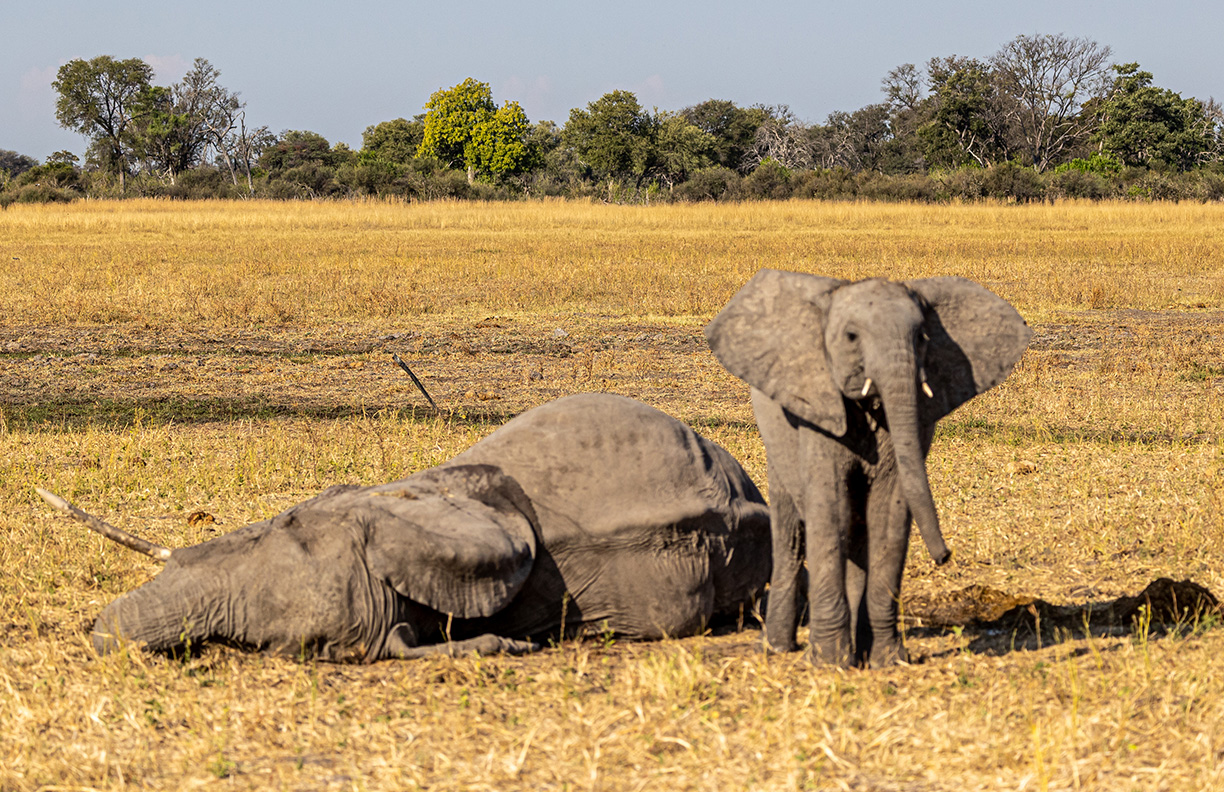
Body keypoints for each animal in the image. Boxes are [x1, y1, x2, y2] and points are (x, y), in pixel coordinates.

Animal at [705, 270, 1031, 667]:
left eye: (922, 338)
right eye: (851, 337)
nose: (945, 556)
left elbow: (889, 514)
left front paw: (889, 660)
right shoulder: (819, 413)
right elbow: (832, 510)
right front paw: (830, 663)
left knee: (859, 533)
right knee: (793, 532)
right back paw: (777, 648)